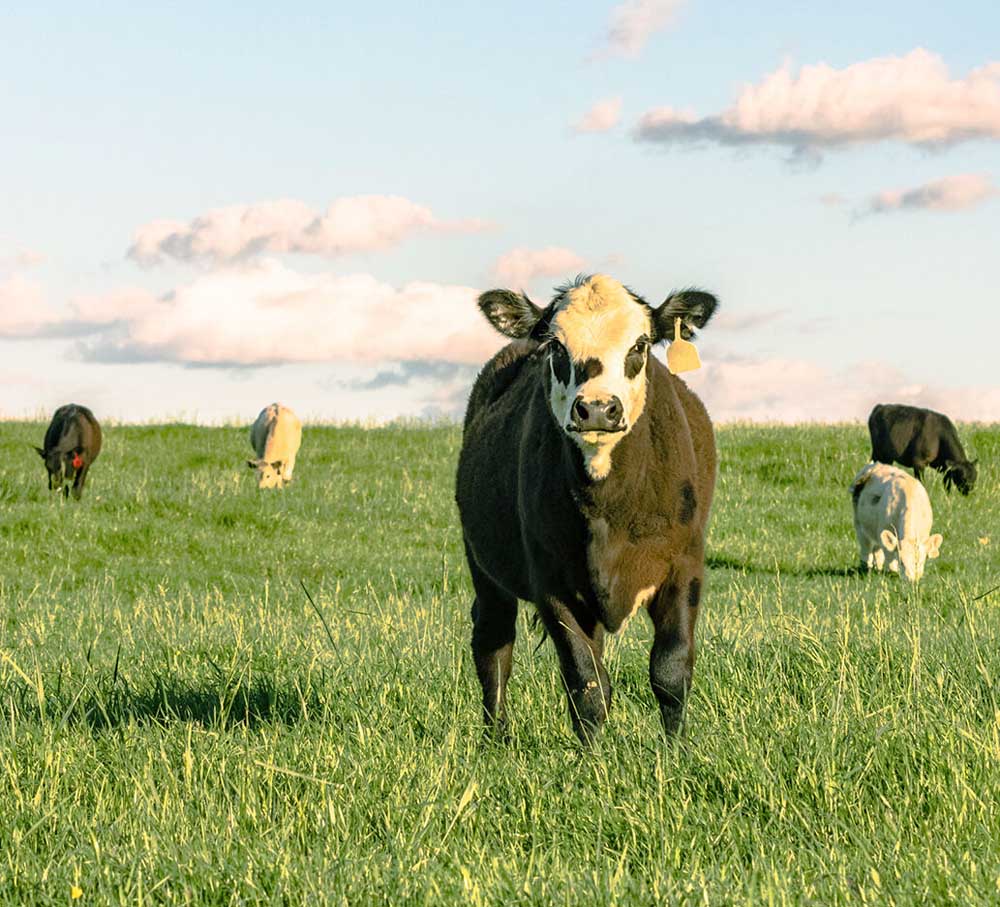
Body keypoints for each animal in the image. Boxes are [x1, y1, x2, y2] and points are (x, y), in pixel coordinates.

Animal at [455, 274, 719, 744]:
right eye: (556, 347)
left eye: (640, 345)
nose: (597, 408)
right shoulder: (550, 581)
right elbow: (586, 681)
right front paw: (591, 758)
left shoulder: (685, 566)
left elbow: (670, 671)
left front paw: (676, 751)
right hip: (483, 564)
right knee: (493, 643)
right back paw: (496, 739)